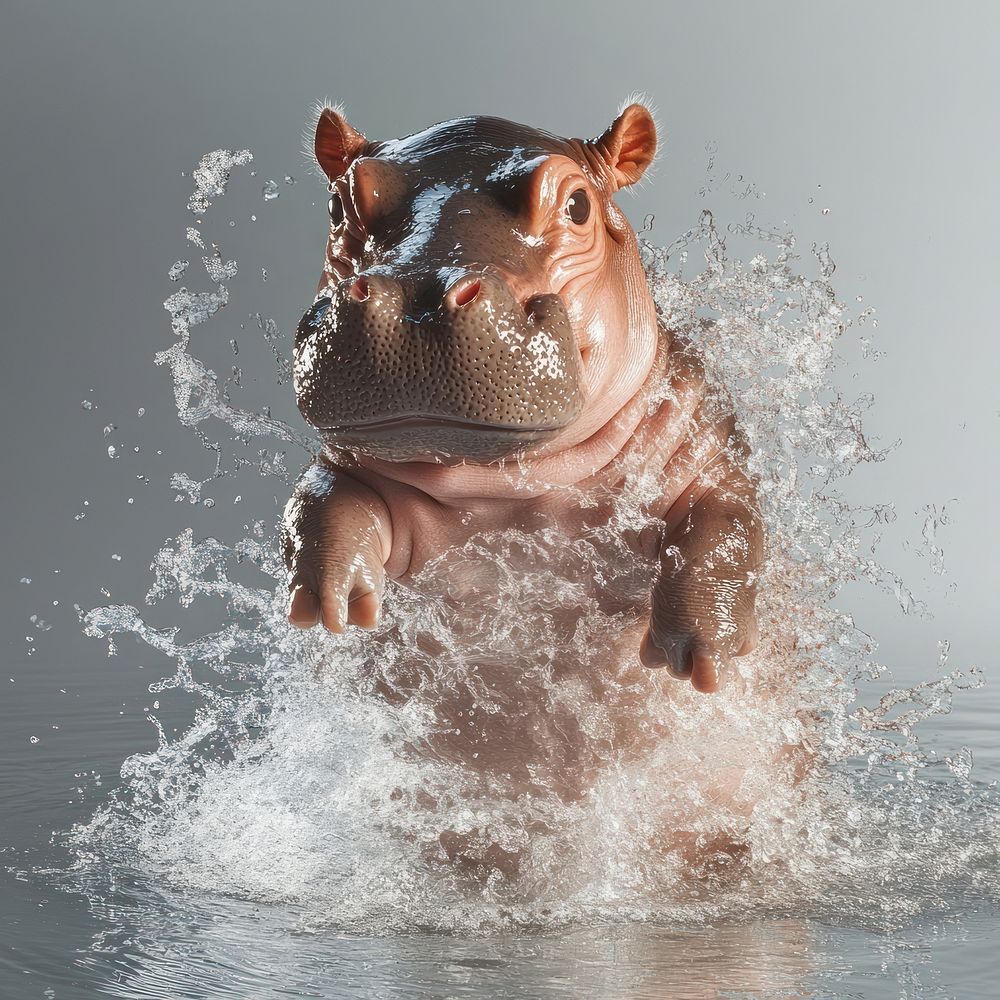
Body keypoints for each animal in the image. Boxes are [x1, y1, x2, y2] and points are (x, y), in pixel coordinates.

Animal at [281, 103, 766, 866]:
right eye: (339, 204)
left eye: (579, 204)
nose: (416, 299)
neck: (519, 482)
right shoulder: (358, 469)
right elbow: (324, 498)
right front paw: (330, 601)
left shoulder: (703, 447)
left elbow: (725, 524)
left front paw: (698, 651)